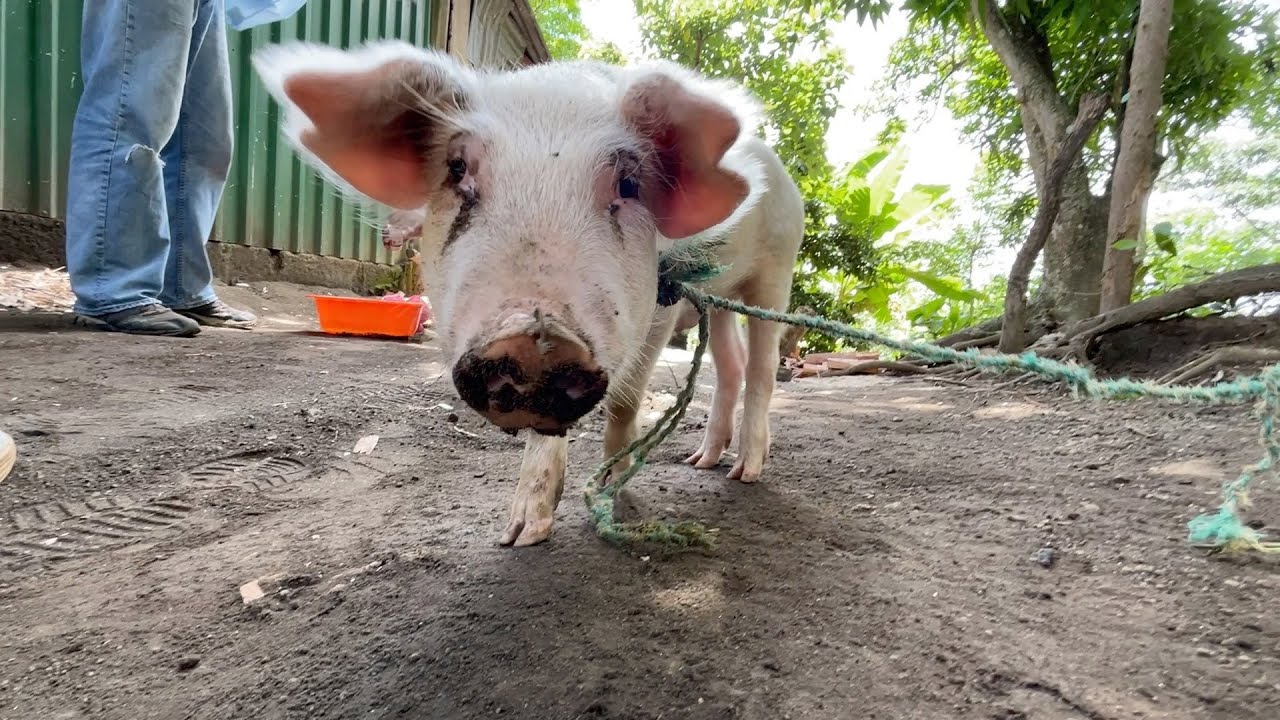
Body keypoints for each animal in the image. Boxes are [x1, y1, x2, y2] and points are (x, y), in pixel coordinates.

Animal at [252, 41, 805, 546]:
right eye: (457, 170)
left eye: (628, 184)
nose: (531, 337)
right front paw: (518, 535)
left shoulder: (662, 302)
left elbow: (626, 401)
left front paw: (613, 490)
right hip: (723, 298)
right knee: (730, 364)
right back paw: (702, 461)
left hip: (777, 268)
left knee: (761, 365)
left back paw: (745, 473)